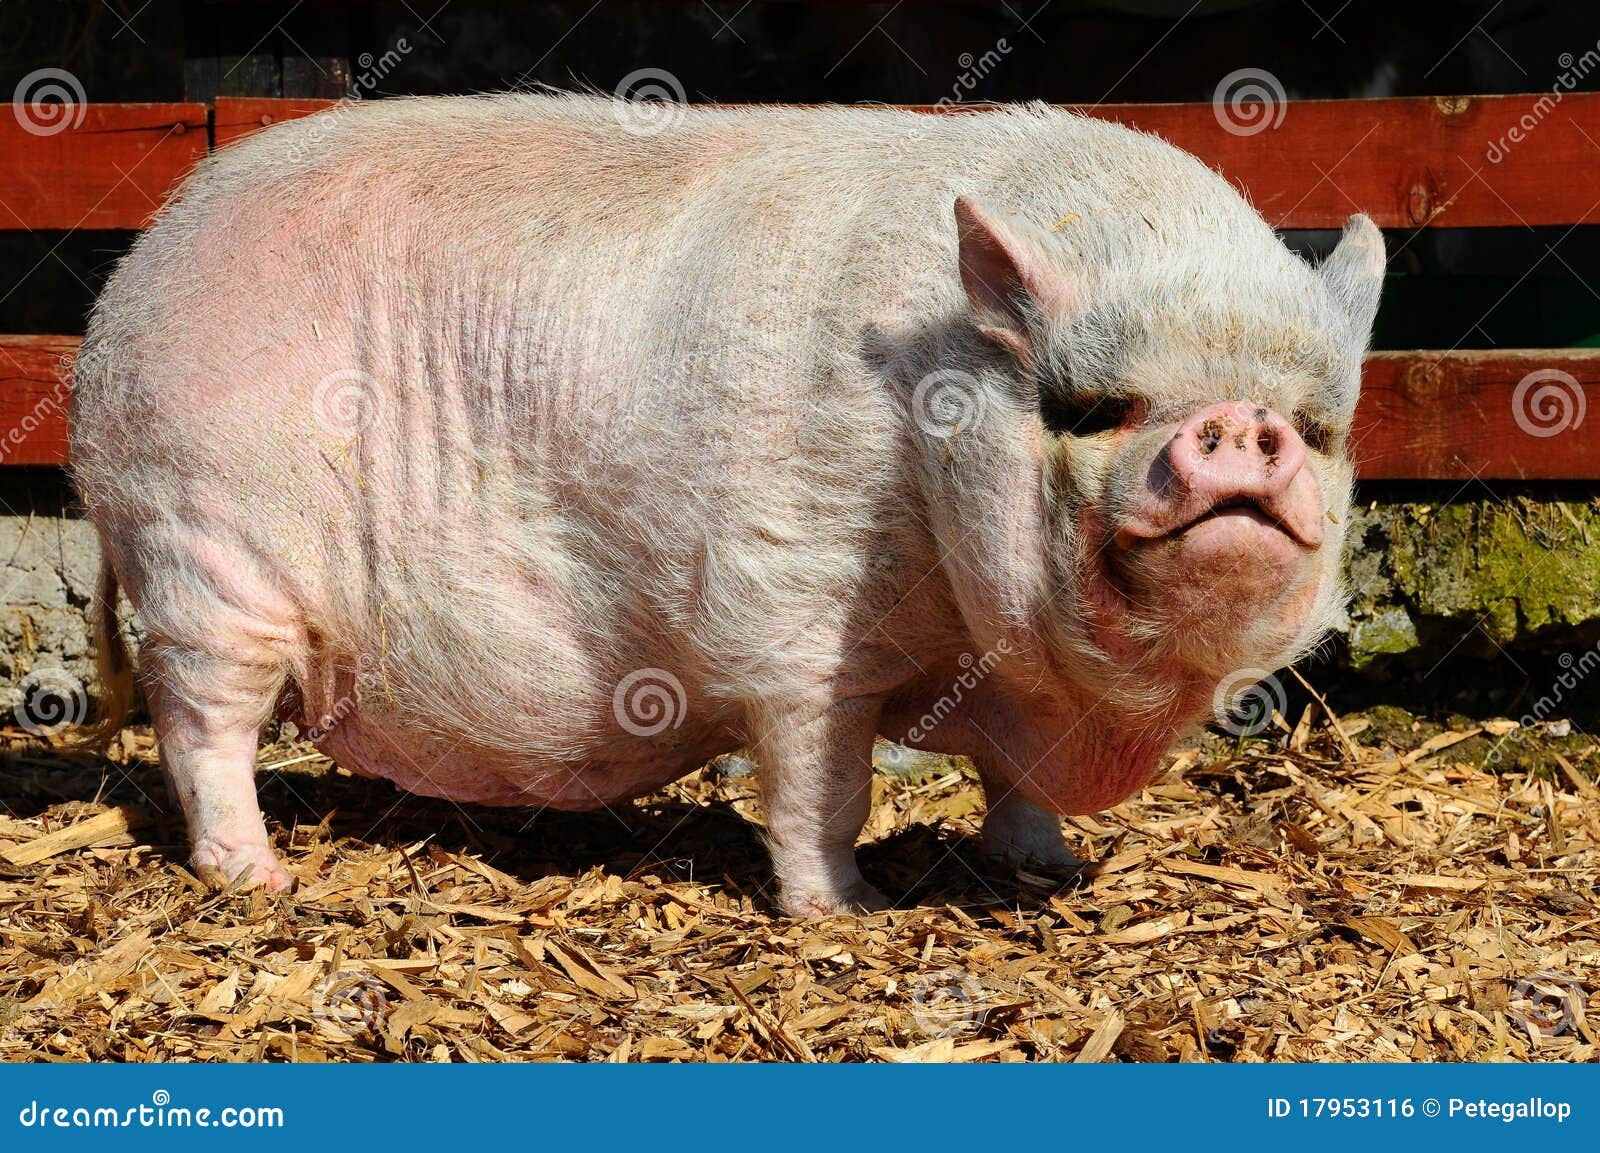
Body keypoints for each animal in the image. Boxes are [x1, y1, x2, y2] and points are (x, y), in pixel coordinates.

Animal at [70, 95, 1383, 915]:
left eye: (1315, 425)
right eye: (1091, 408)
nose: (1242, 426)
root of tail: (122, 295)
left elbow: (1012, 788)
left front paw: (1045, 870)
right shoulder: (795, 612)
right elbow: (823, 783)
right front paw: (850, 911)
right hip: (205, 541)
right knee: (203, 727)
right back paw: (259, 879)